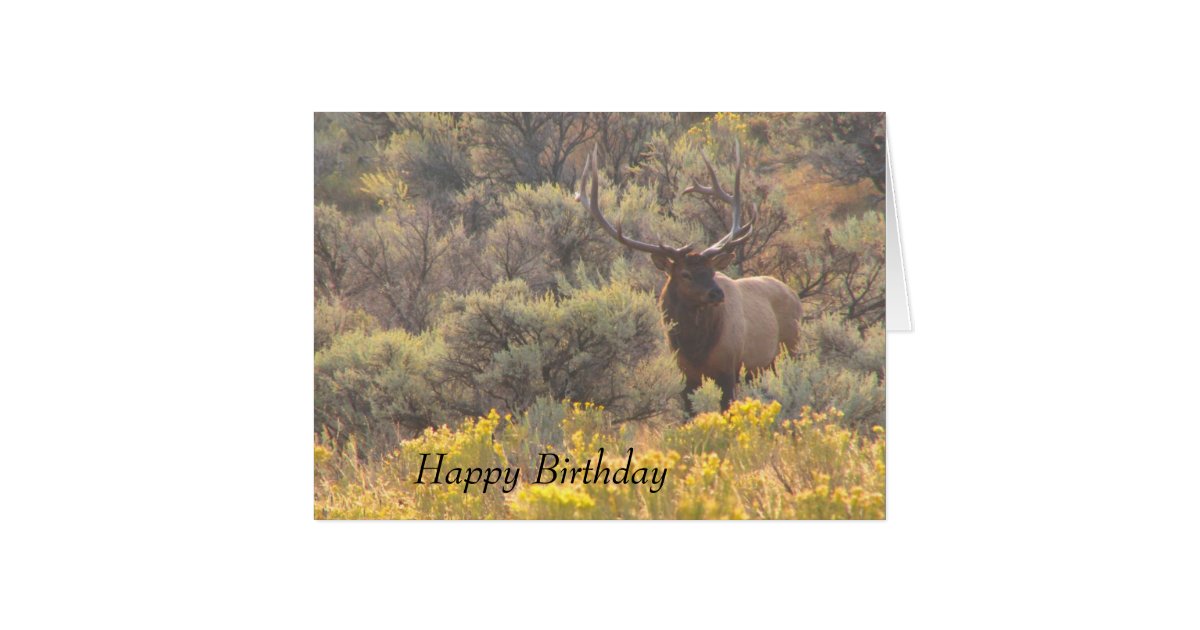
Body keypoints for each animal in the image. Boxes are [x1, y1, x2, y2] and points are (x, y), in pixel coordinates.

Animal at [575, 142, 802, 413]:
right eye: (685, 274)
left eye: (712, 271)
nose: (717, 293)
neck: (696, 349)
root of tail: (795, 295)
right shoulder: (685, 376)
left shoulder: (729, 369)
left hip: (790, 349)